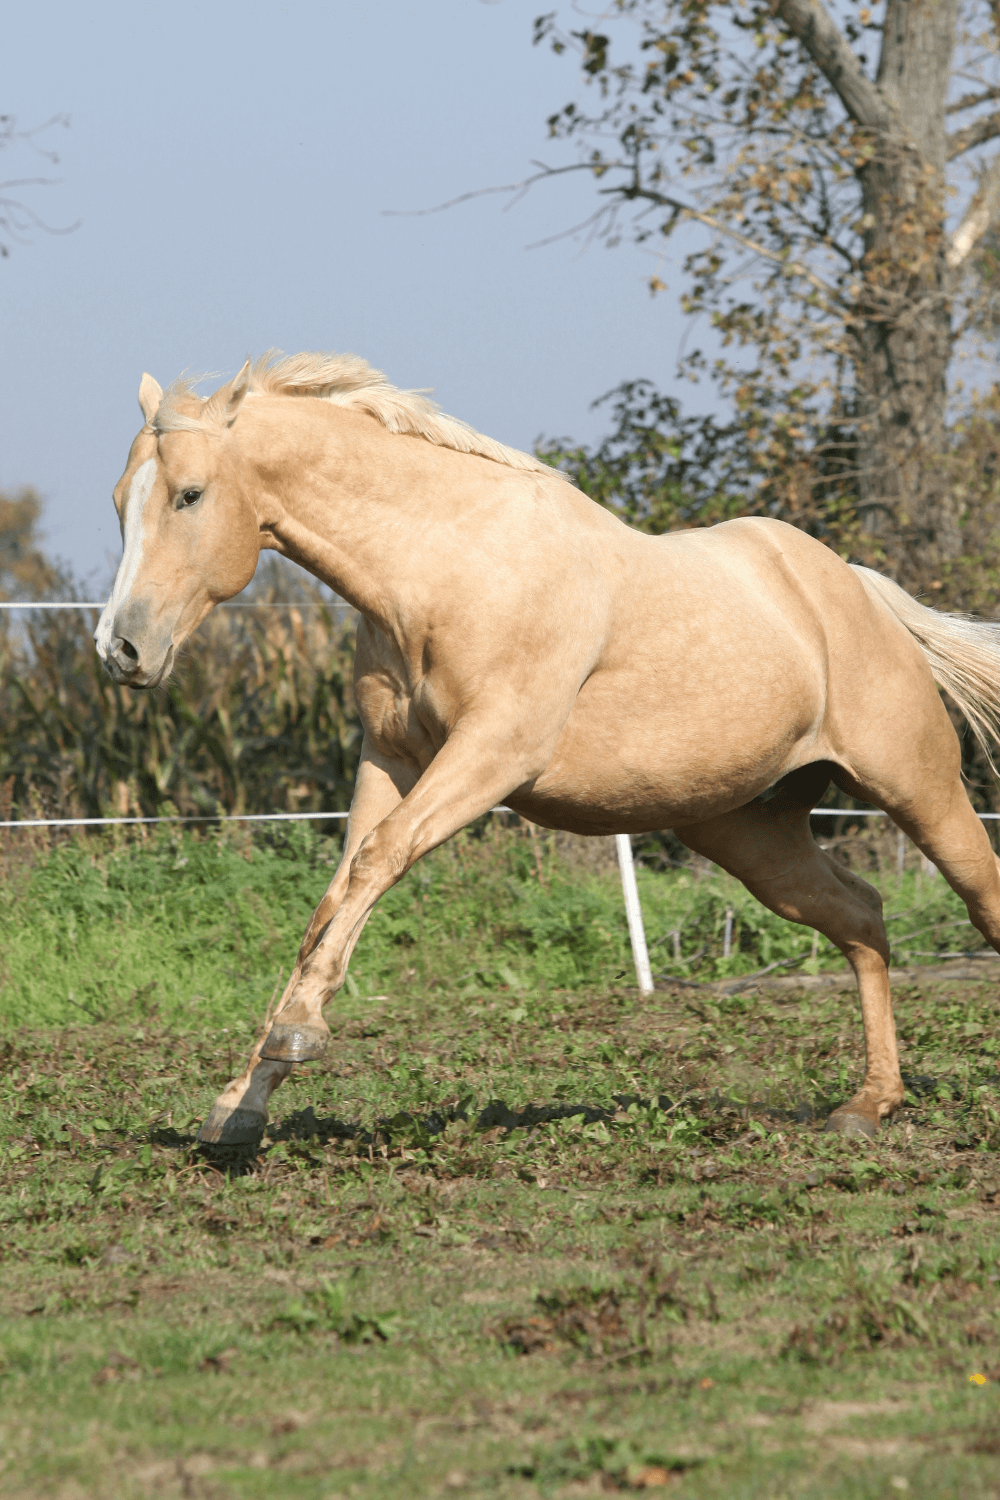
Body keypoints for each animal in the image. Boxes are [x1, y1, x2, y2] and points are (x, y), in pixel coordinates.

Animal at [94, 351, 1000, 1147]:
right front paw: (241, 1104)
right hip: (750, 832)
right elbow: (336, 895)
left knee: (979, 896)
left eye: (189, 495)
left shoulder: (493, 755)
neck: (442, 571)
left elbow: (379, 860)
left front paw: (295, 1036)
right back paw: (867, 1105)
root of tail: (859, 589)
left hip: (916, 787)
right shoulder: (390, 760)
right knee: (862, 918)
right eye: (117, 501)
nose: (119, 650)